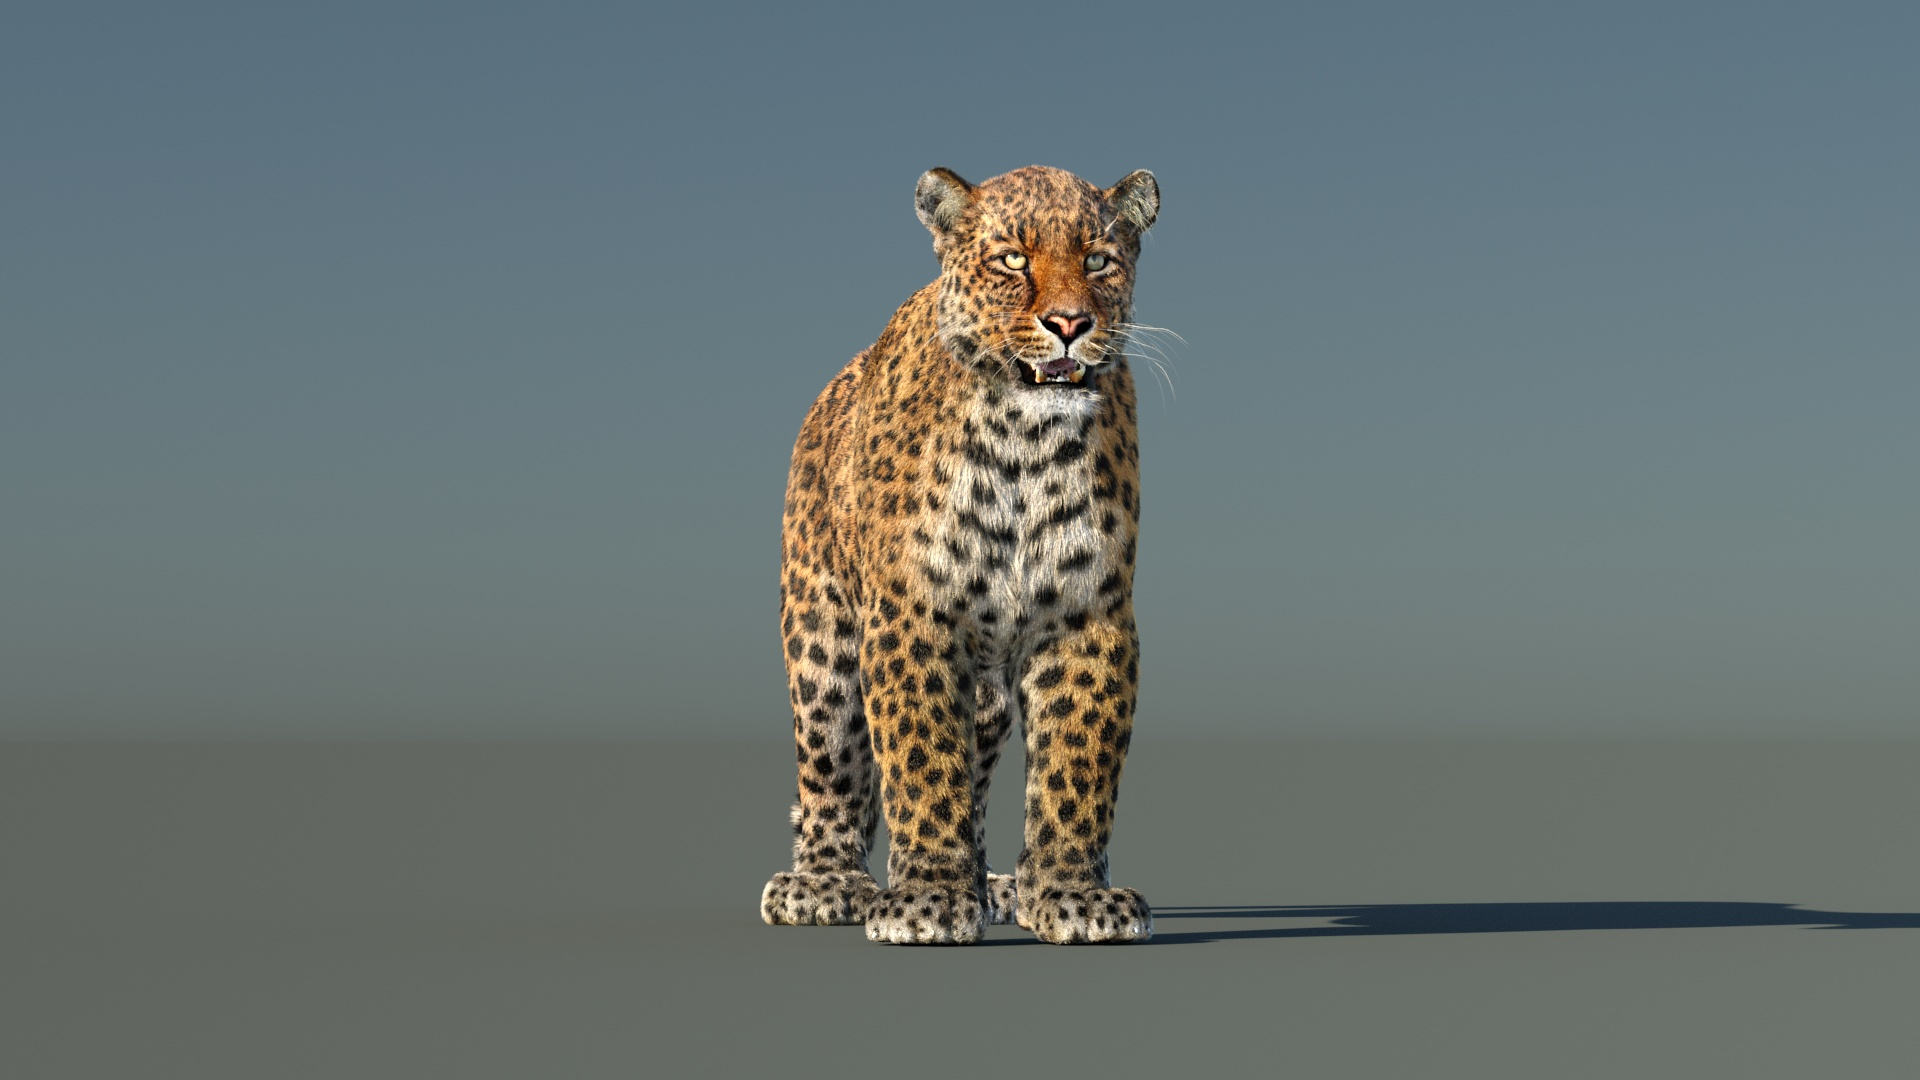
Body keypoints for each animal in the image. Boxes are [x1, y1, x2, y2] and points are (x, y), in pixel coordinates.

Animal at [758, 164, 1160, 945]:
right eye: (1013, 259)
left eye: (1099, 259)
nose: (1071, 324)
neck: (1026, 444)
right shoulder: (912, 617)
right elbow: (919, 761)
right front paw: (927, 899)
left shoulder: (1086, 618)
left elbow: (1077, 766)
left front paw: (1070, 895)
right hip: (822, 647)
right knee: (832, 770)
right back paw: (824, 884)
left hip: (986, 692)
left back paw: (994, 885)